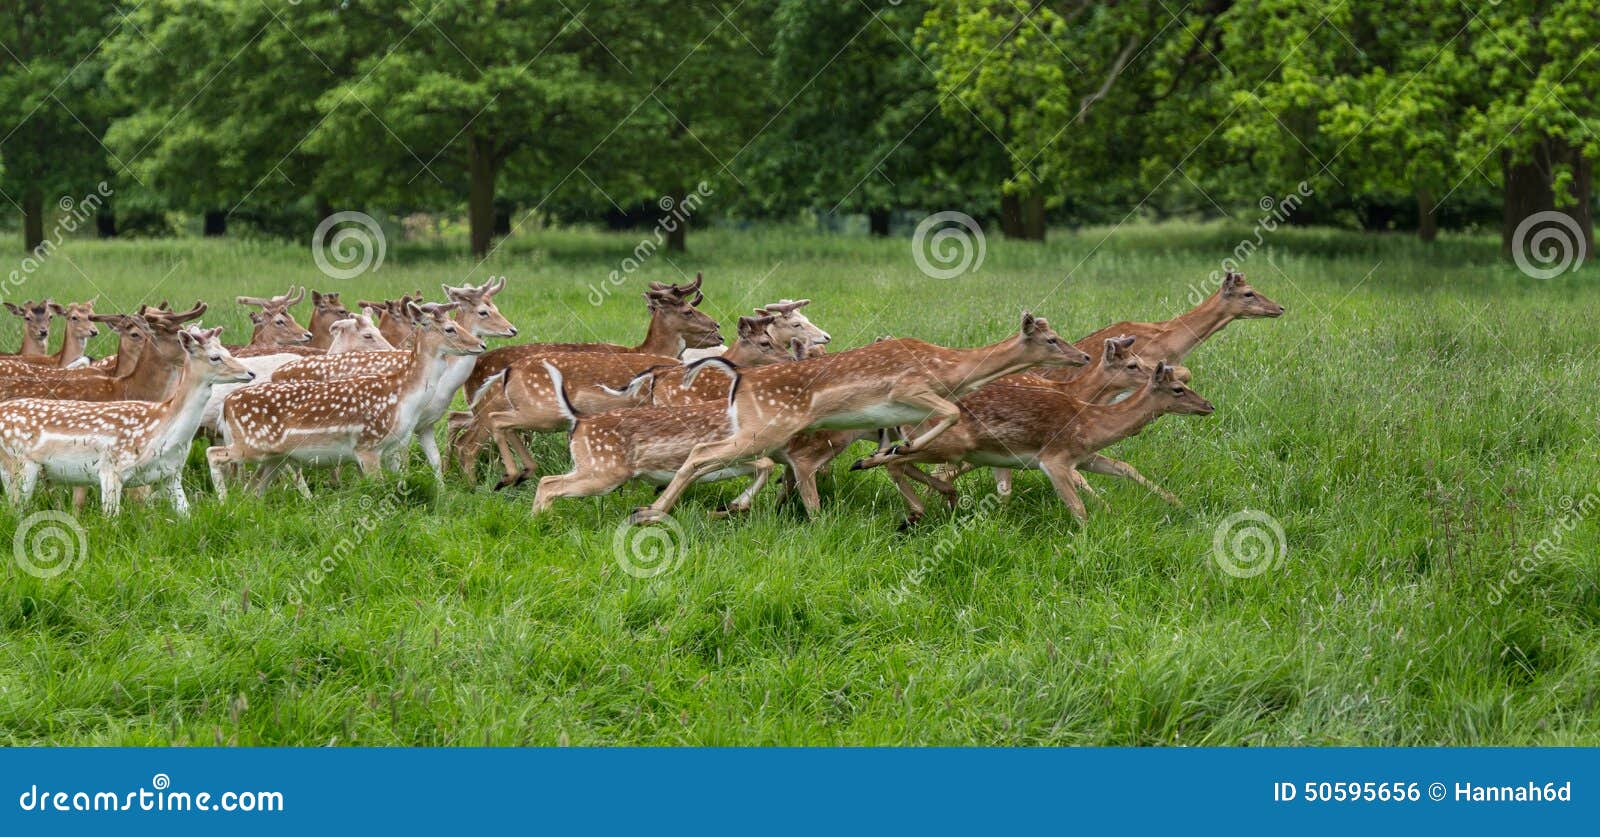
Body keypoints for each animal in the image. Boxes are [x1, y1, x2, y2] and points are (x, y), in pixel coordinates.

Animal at [0, 327, 254, 516]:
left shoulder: (171, 474)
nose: (250, 372)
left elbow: (187, 515)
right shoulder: (111, 469)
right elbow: (111, 521)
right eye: (215, 357)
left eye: (227, 351)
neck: (163, 431)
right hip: (19, 465)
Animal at [206, 303, 486, 498]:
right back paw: (222, 501)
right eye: (450, 329)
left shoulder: (389, 447)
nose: (480, 345)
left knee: (252, 491)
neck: (403, 396)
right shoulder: (367, 445)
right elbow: (378, 491)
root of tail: (227, 406)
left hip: (273, 457)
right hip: (250, 445)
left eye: (457, 323)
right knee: (214, 454)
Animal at [264, 279, 518, 475]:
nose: (513, 329)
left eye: (495, 306)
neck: (443, 386)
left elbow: (434, 462)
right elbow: (402, 463)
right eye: (484, 311)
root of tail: (276, 373)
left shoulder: (425, 424)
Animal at [628, 312, 1090, 523]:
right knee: (703, 453)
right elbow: (949, 413)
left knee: (710, 455)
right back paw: (651, 512)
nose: (1083, 357)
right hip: (765, 428)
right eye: (1051, 339)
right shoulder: (907, 390)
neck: (952, 371)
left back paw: (656, 510)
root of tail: (740, 381)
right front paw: (893, 452)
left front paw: (887, 455)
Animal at [852, 363, 1212, 526]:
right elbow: (1077, 507)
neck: (1092, 422)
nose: (1208, 406)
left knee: (901, 461)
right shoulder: (1054, 459)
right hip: (951, 444)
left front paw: (1180, 505)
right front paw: (1090, 539)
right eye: (1178, 389)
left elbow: (1125, 466)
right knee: (898, 460)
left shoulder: (1083, 456)